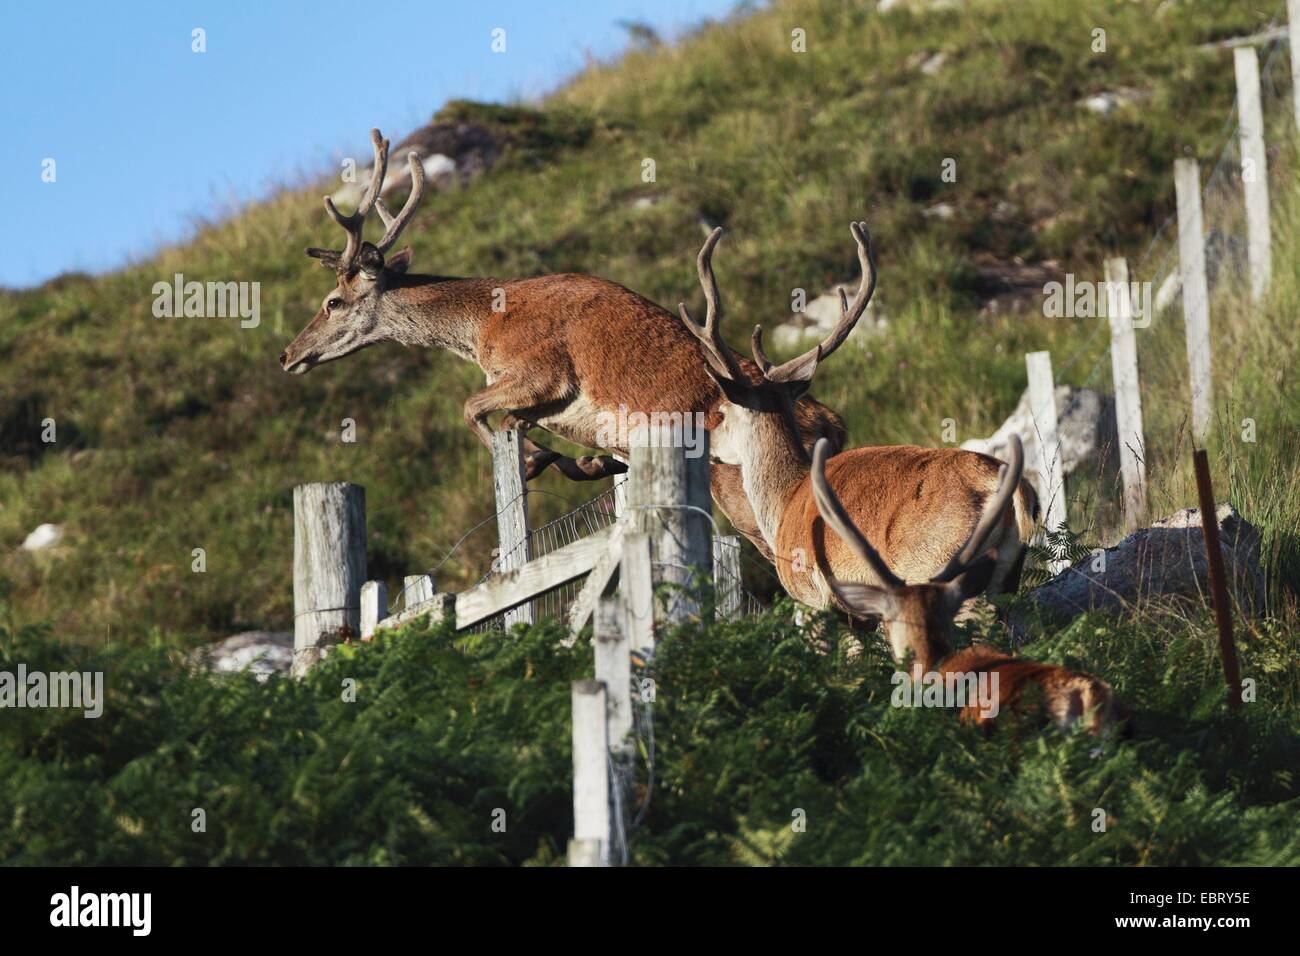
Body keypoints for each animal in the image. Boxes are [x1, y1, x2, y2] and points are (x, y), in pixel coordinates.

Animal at [278, 128, 852, 562]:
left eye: (332, 301)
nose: (287, 355)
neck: (481, 329)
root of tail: (833, 424)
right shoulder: (553, 405)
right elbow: (516, 424)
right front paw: (580, 462)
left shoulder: (542, 372)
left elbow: (471, 407)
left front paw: (540, 462)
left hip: (742, 492)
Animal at [677, 224, 1039, 612]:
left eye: (722, 411)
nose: (707, 443)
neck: (784, 503)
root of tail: (1012, 490)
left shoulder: (814, 594)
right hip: (1006, 575)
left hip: (936, 563)